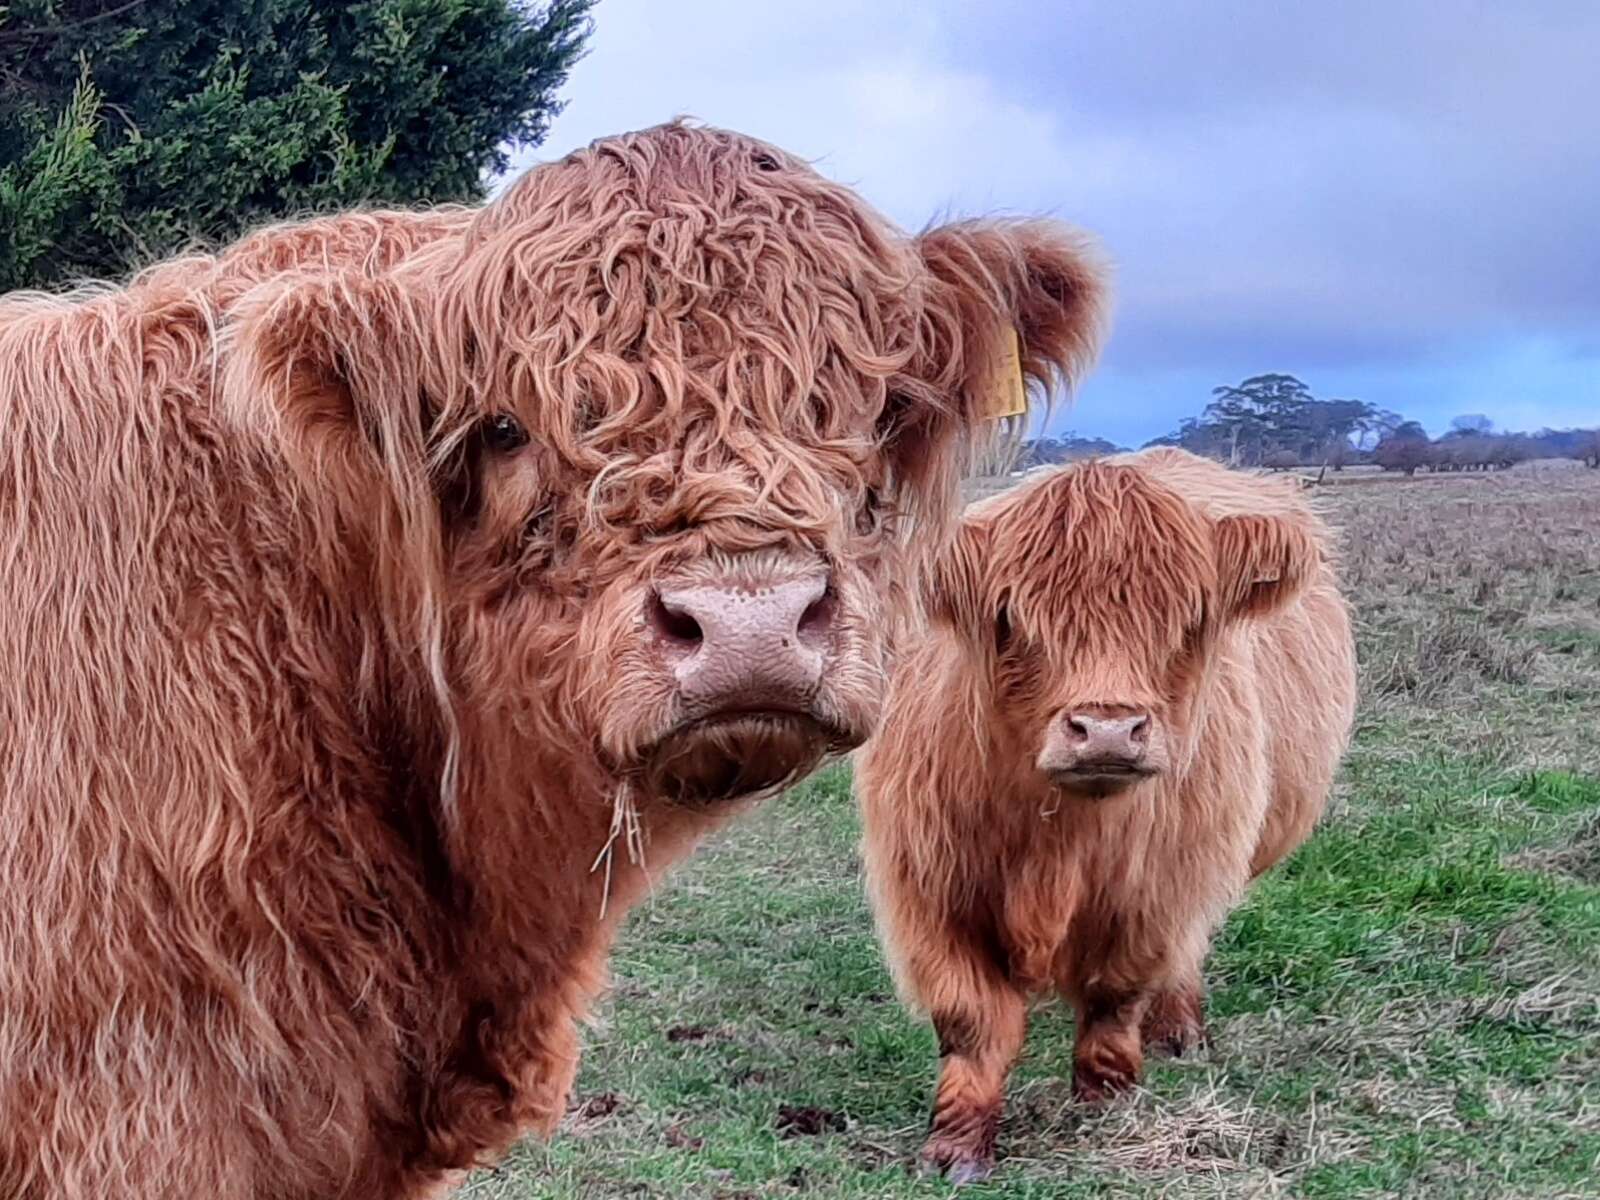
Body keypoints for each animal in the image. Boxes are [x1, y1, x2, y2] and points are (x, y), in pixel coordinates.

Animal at [857, 446, 1356, 1182]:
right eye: (1009, 615)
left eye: (1190, 618)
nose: (1109, 731)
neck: (1061, 842)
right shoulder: (927, 889)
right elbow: (971, 1021)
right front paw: (957, 1147)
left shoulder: (1159, 891)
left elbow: (1117, 995)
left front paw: (1105, 1105)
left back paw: (1179, 1031)